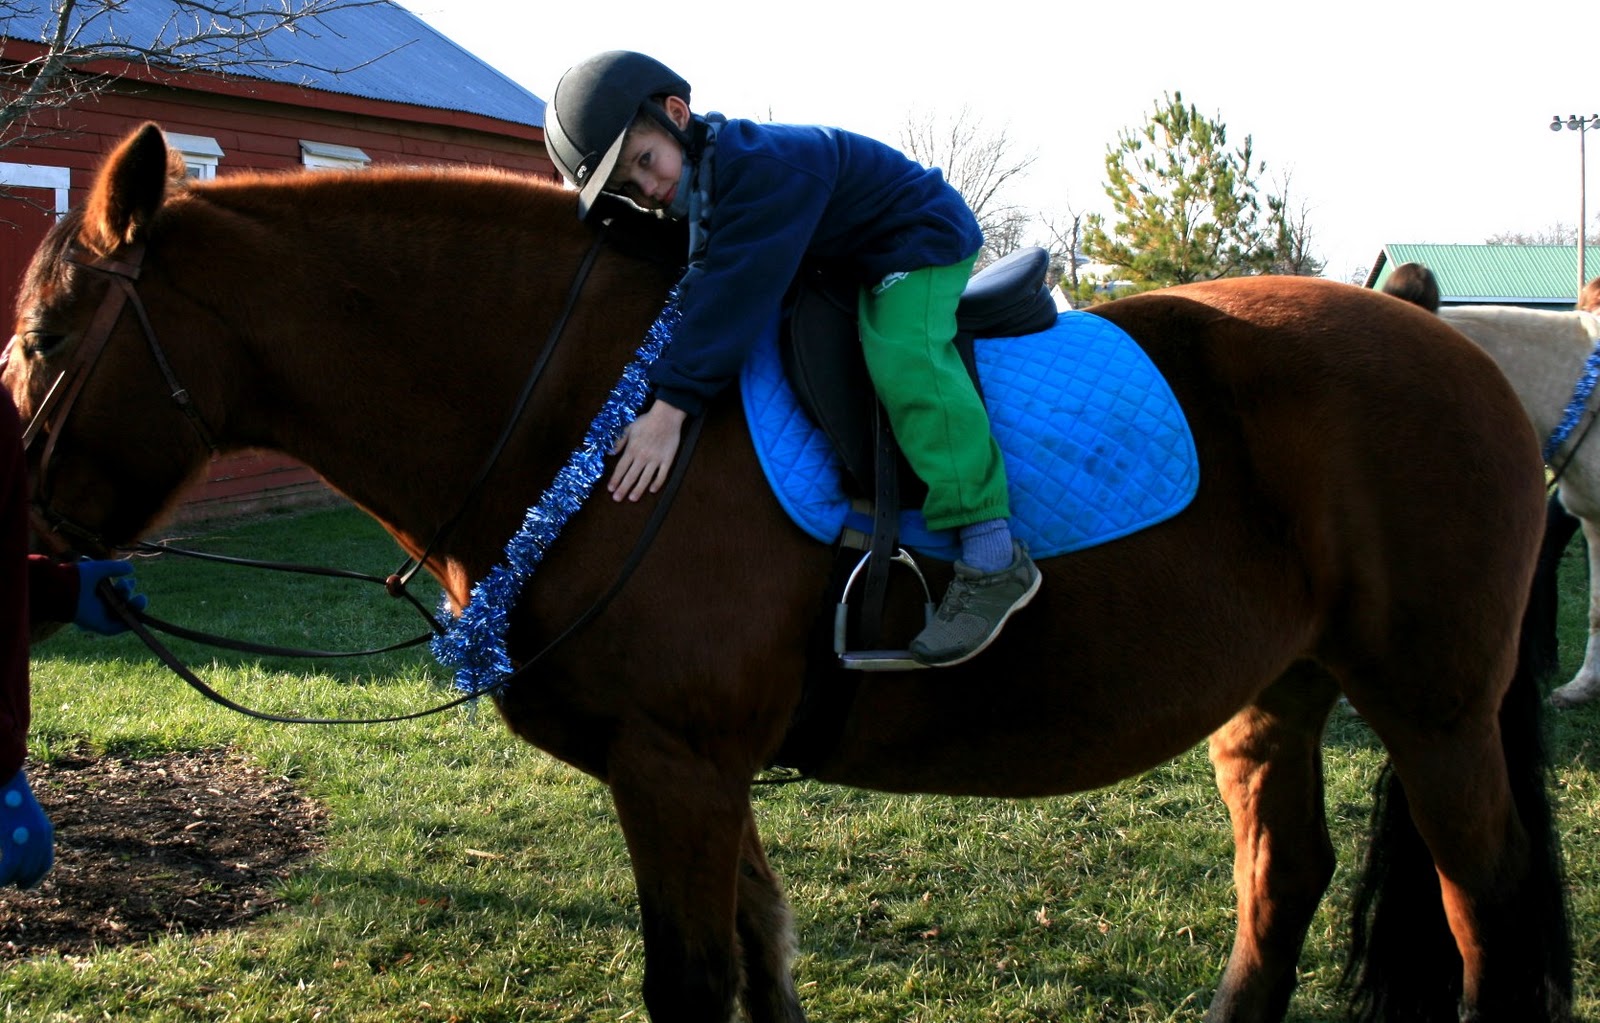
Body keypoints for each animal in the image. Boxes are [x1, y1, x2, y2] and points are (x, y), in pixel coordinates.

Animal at [4, 123, 1571, 1023]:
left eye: (42, 338)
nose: (23, 553)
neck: (592, 409)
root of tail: (1462, 355)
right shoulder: (704, 777)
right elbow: (761, 964)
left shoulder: (676, 768)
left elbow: (698, 985)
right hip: (1276, 698)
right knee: (1283, 882)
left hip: (1434, 713)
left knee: (1485, 908)